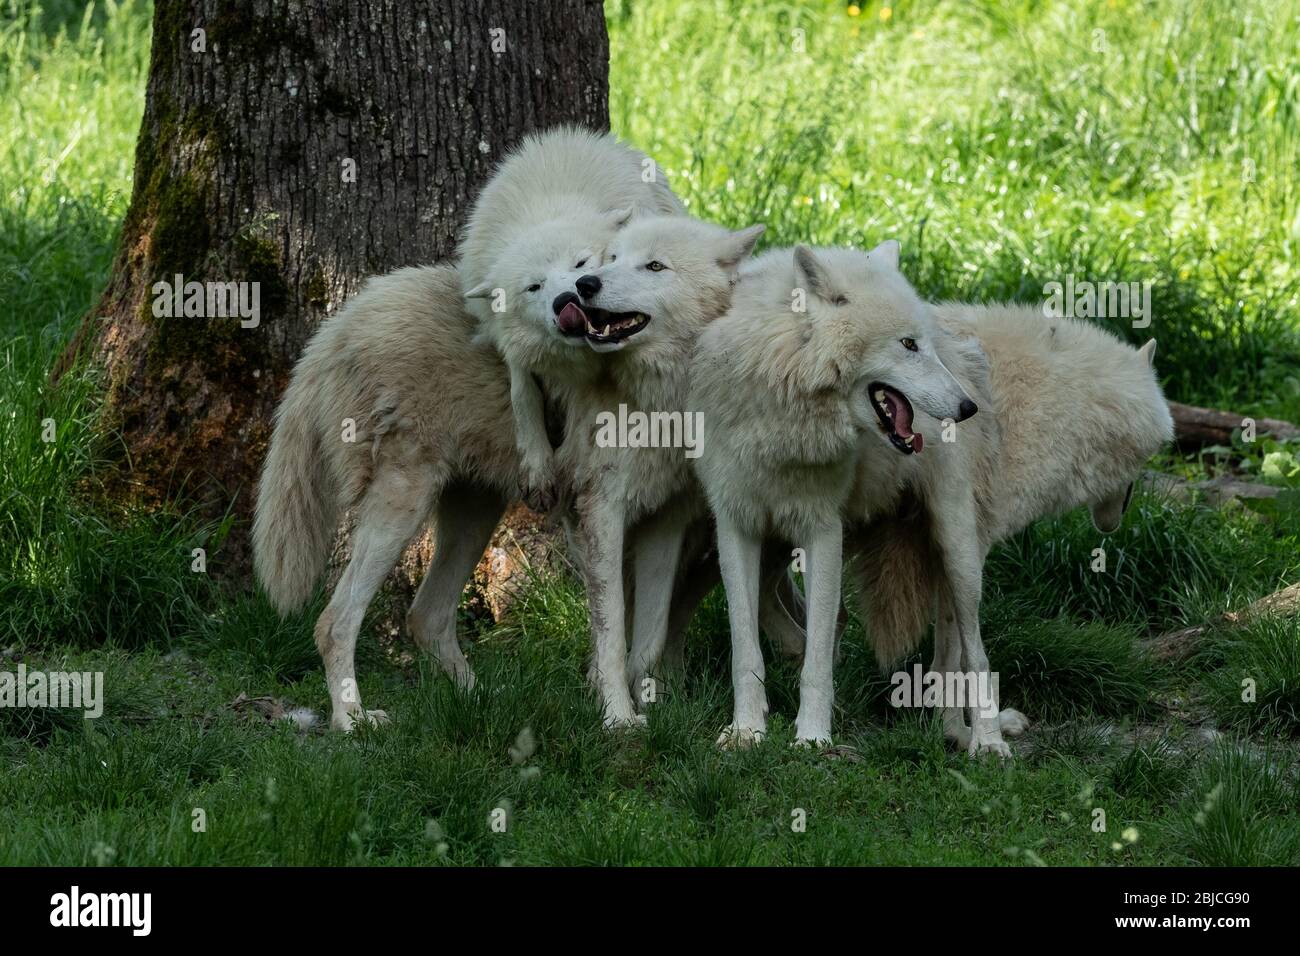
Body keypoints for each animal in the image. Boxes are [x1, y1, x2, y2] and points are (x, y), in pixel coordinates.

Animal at [253, 264, 525, 731]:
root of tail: (335, 327)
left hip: (477, 505)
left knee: (426, 616)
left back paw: (481, 699)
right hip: (406, 501)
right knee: (335, 621)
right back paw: (352, 718)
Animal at [458, 126, 685, 509]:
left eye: (580, 262)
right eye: (534, 286)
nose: (566, 299)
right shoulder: (513, 350)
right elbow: (523, 398)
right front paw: (538, 473)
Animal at [689, 242, 977, 747]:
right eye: (908, 345)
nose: (967, 407)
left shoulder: (823, 531)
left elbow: (817, 660)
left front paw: (812, 737)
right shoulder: (736, 526)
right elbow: (745, 647)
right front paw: (747, 730)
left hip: (959, 558)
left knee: (971, 653)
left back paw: (983, 740)